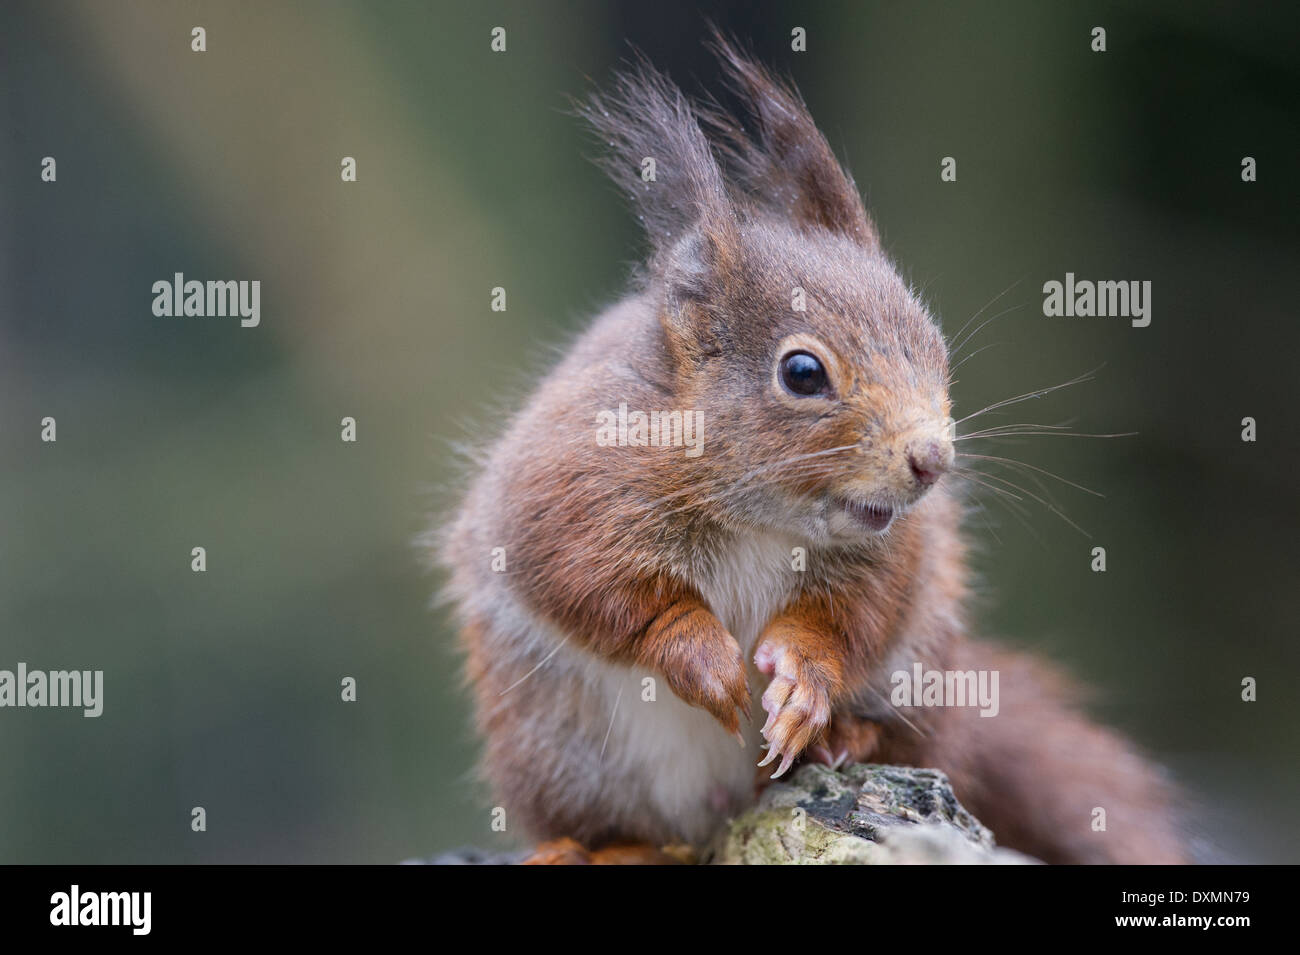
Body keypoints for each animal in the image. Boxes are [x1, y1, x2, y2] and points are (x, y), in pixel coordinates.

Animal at [437, 37, 1187, 865]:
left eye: (936, 349)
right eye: (802, 372)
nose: (931, 461)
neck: (764, 519)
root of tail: (719, 813)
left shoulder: (895, 555)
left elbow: (851, 616)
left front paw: (806, 680)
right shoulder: (570, 482)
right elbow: (594, 585)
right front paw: (700, 653)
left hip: (925, 675)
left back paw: (844, 739)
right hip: (554, 747)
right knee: (603, 821)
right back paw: (599, 846)